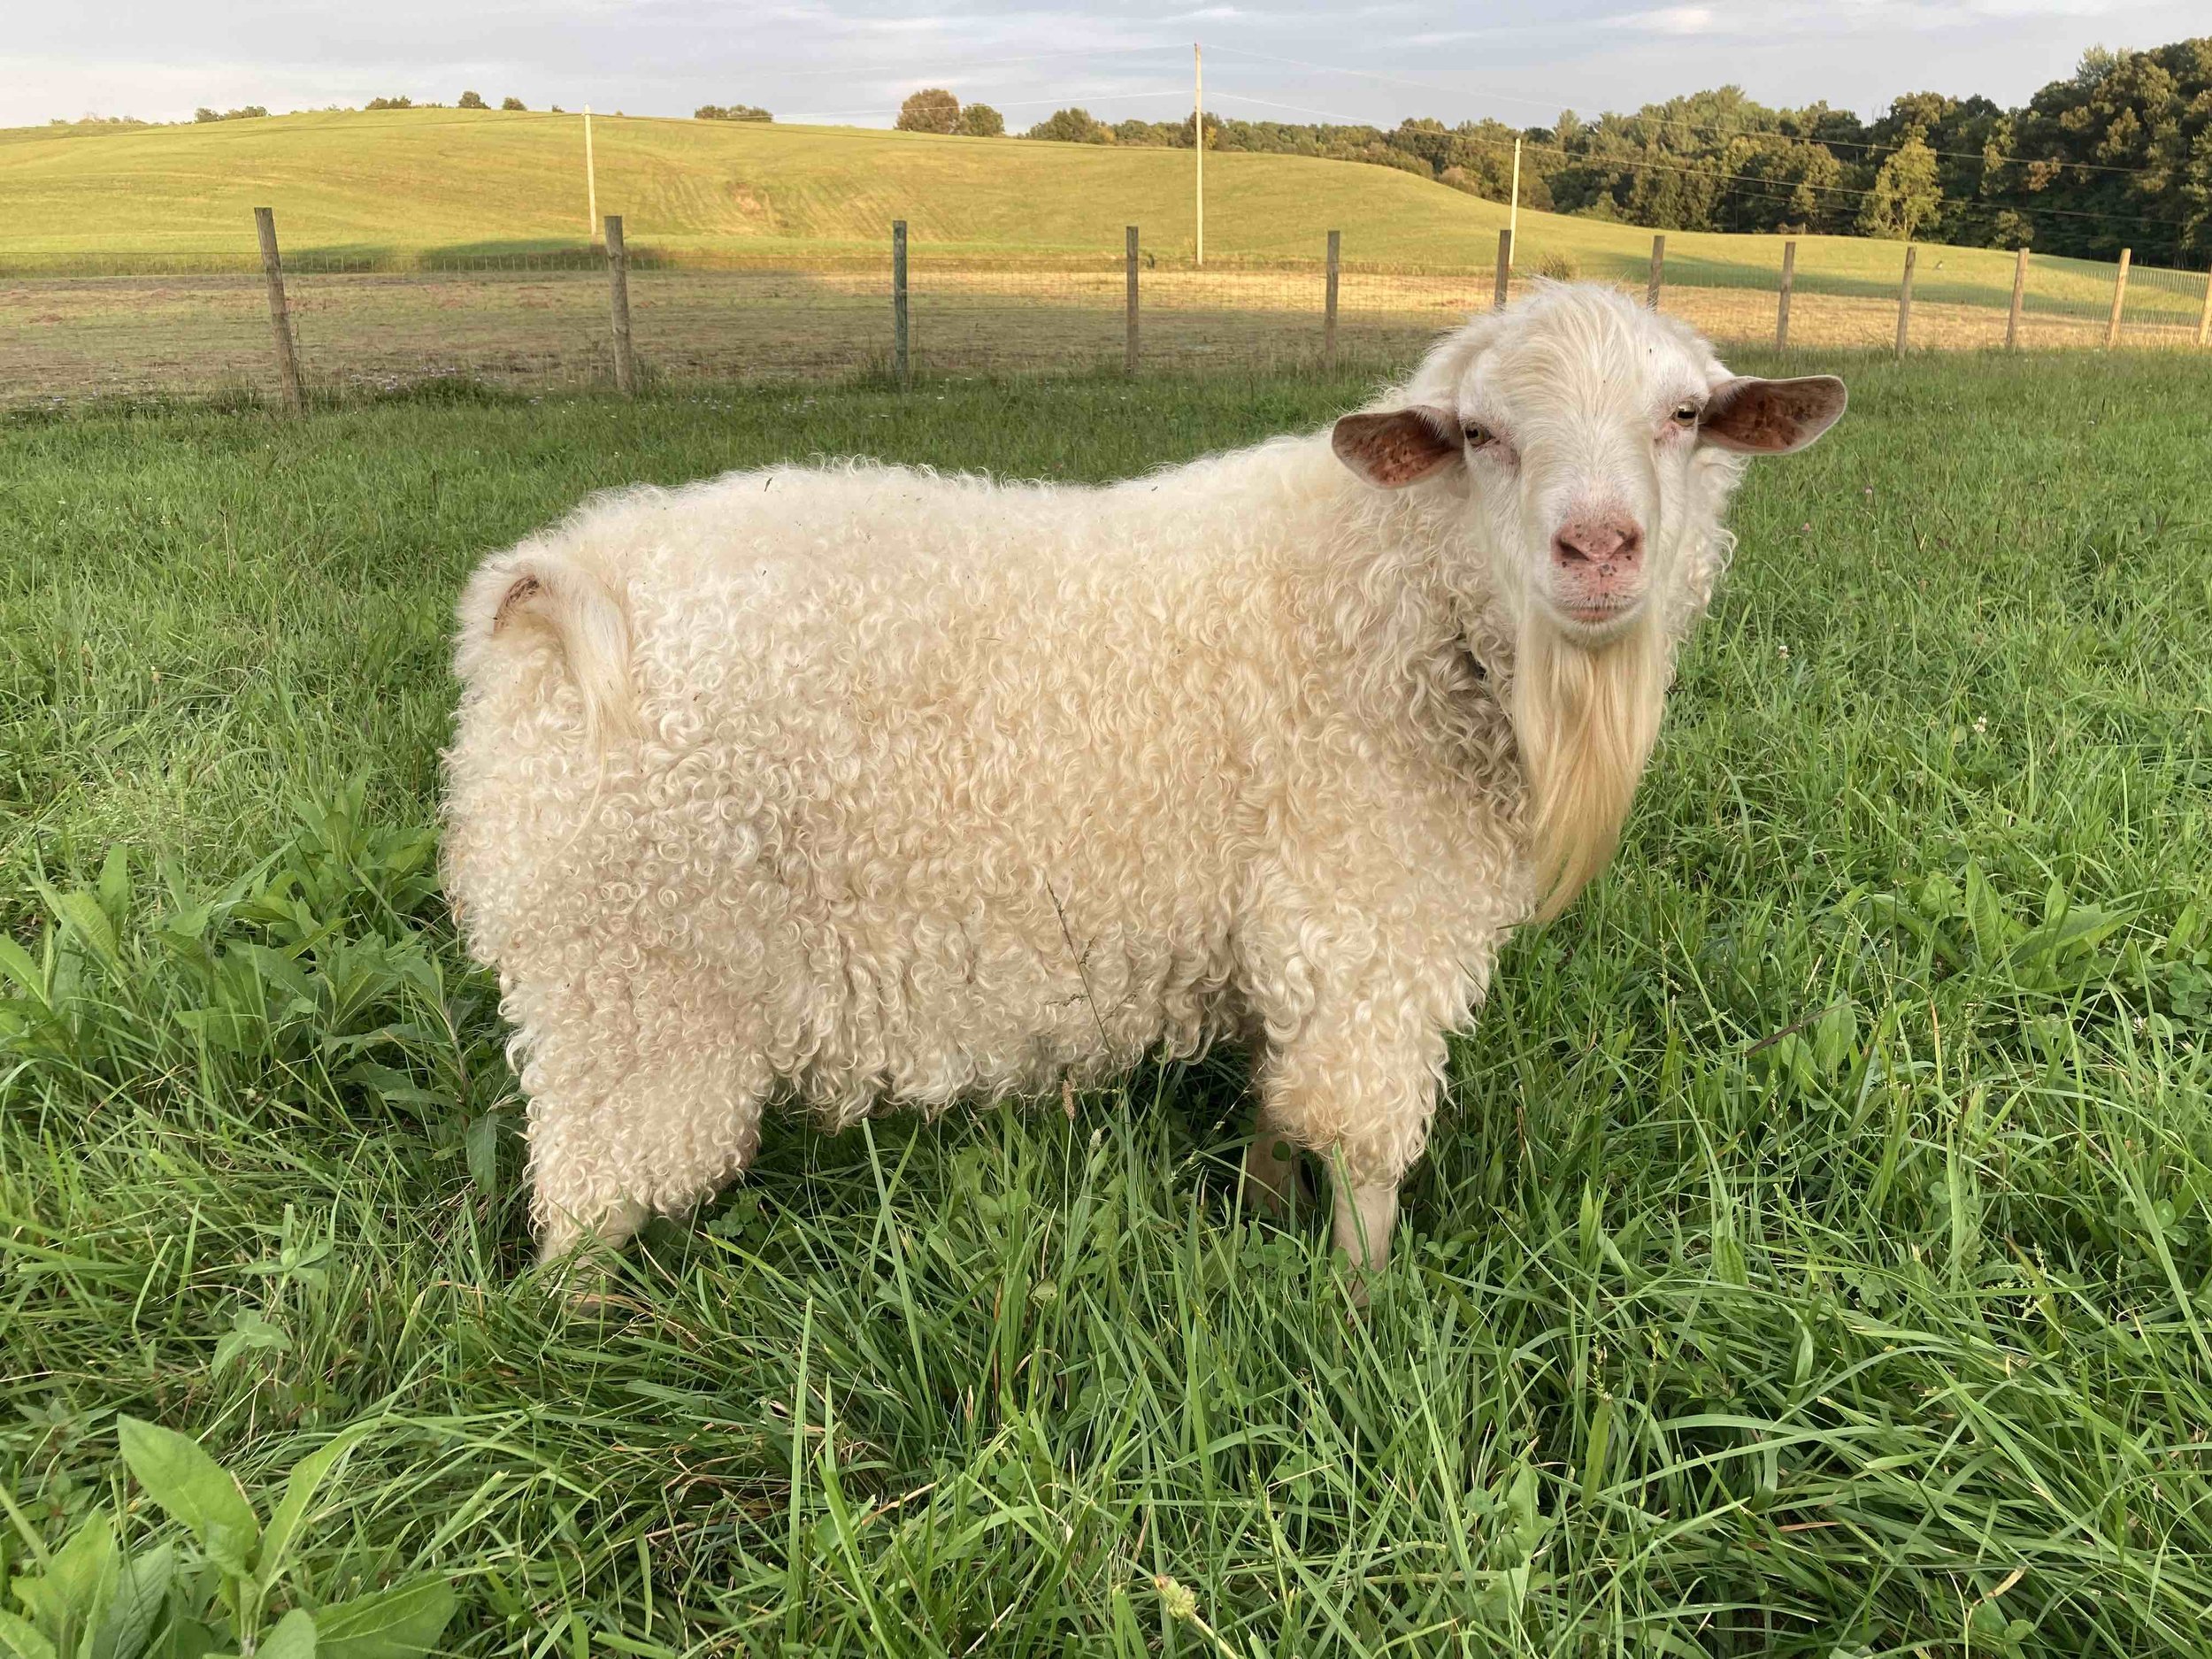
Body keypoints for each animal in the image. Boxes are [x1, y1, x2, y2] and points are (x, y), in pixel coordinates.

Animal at [443, 284, 1845, 1280]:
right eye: (1480, 435)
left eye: (1683, 416)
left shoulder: (1291, 934)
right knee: (586, 1202)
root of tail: (555, 594)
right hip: (630, 979)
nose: (1600, 547)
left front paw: (1266, 1216)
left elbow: (1282, 1105)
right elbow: (1366, 1149)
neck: (1382, 592)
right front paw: (1362, 1318)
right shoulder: (1372, 922)